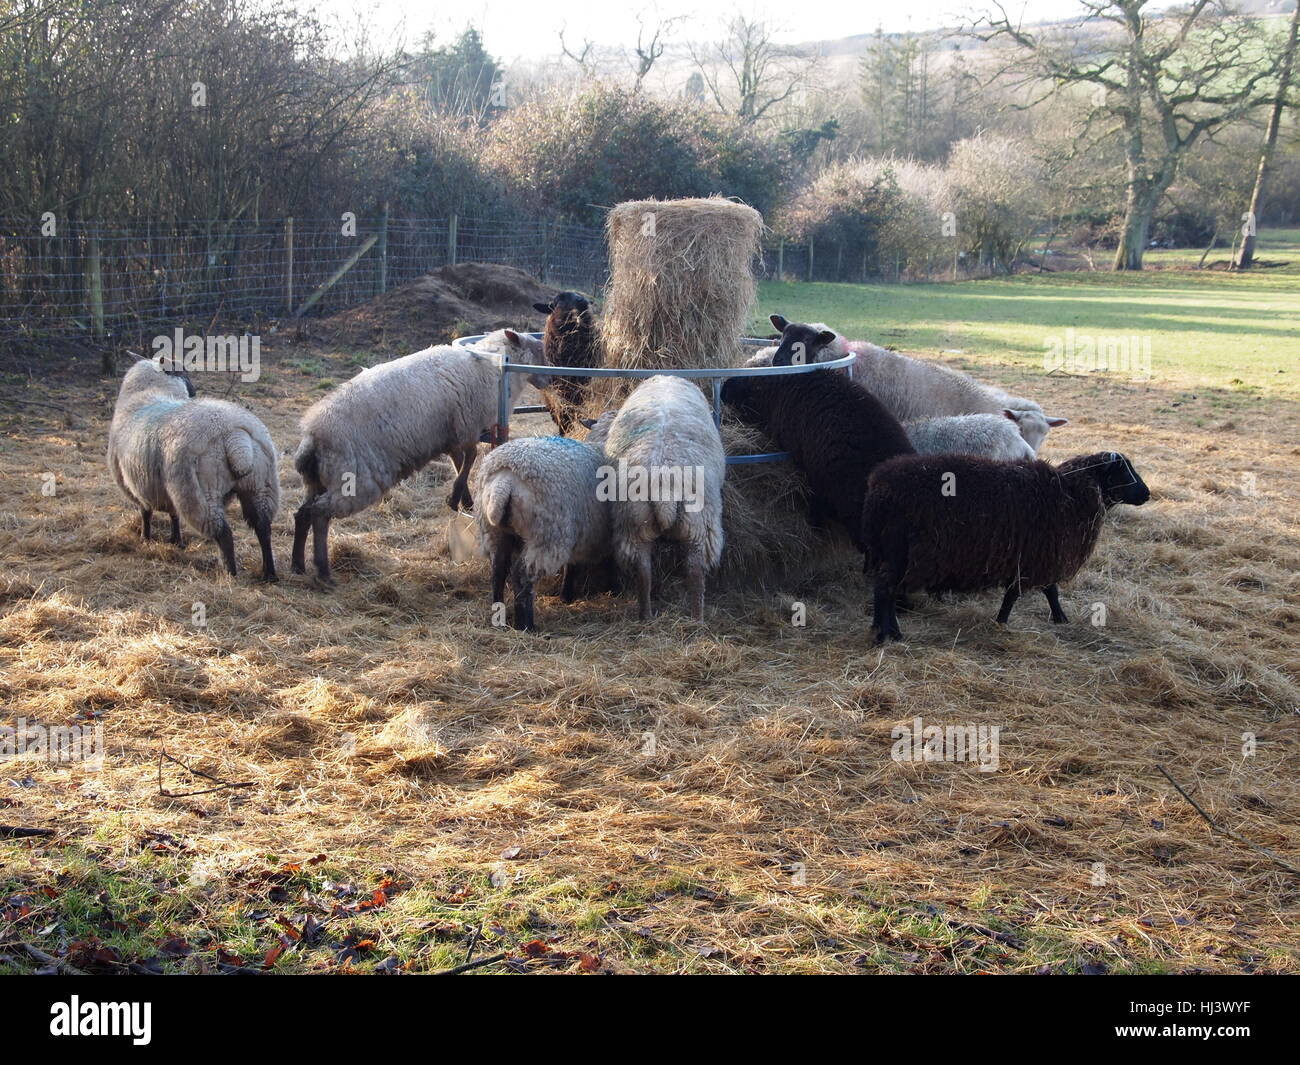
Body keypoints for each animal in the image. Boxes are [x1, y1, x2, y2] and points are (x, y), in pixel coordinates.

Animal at [107, 357, 280, 579]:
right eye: (182, 371)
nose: (194, 390)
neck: (147, 393)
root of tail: (235, 437)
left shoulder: (137, 486)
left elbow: (146, 512)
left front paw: (146, 538)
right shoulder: (166, 491)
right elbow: (173, 514)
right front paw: (176, 540)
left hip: (199, 492)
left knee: (223, 532)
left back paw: (230, 572)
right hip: (260, 486)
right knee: (263, 527)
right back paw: (269, 574)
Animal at [290, 328, 548, 585]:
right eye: (538, 348)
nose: (549, 380)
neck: (490, 363)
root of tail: (313, 435)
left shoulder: (452, 436)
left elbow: (460, 464)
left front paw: (463, 500)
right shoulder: (467, 427)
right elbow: (470, 458)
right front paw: (457, 497)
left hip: (317, 480)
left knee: (303, 513)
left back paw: (297, 565)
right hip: (355, 480)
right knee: (319, 513)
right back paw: (323, 571)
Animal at [471, 413, 617, 630]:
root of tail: (503, 483)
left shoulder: (578, 530)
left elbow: (571, 564)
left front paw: (566, 596)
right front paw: (612, 589)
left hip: (494, 532)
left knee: (498, 572)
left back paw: (499, 616)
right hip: (546, 535)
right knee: (522, 575)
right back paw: (526, 624)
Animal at [603, 376, 726, 621]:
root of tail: (663, 489)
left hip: (634, 522)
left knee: (643, 571)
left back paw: (646, 615)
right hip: (699, 525)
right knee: (695, 570)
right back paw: (697, 618)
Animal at [862, 451, 1150, 643]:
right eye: (1123, 470)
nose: (1147, 494)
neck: (1071, 494)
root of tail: (879, 488)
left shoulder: (1038, 555)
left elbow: (1050, 590)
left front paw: (1059, 617)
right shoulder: (1034, 557)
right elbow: (1016, 595)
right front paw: (1001, 622)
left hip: (888, 551)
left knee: (882, 586)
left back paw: (879, 628)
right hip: (901, 552)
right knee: (886, 588)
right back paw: (891, 632)